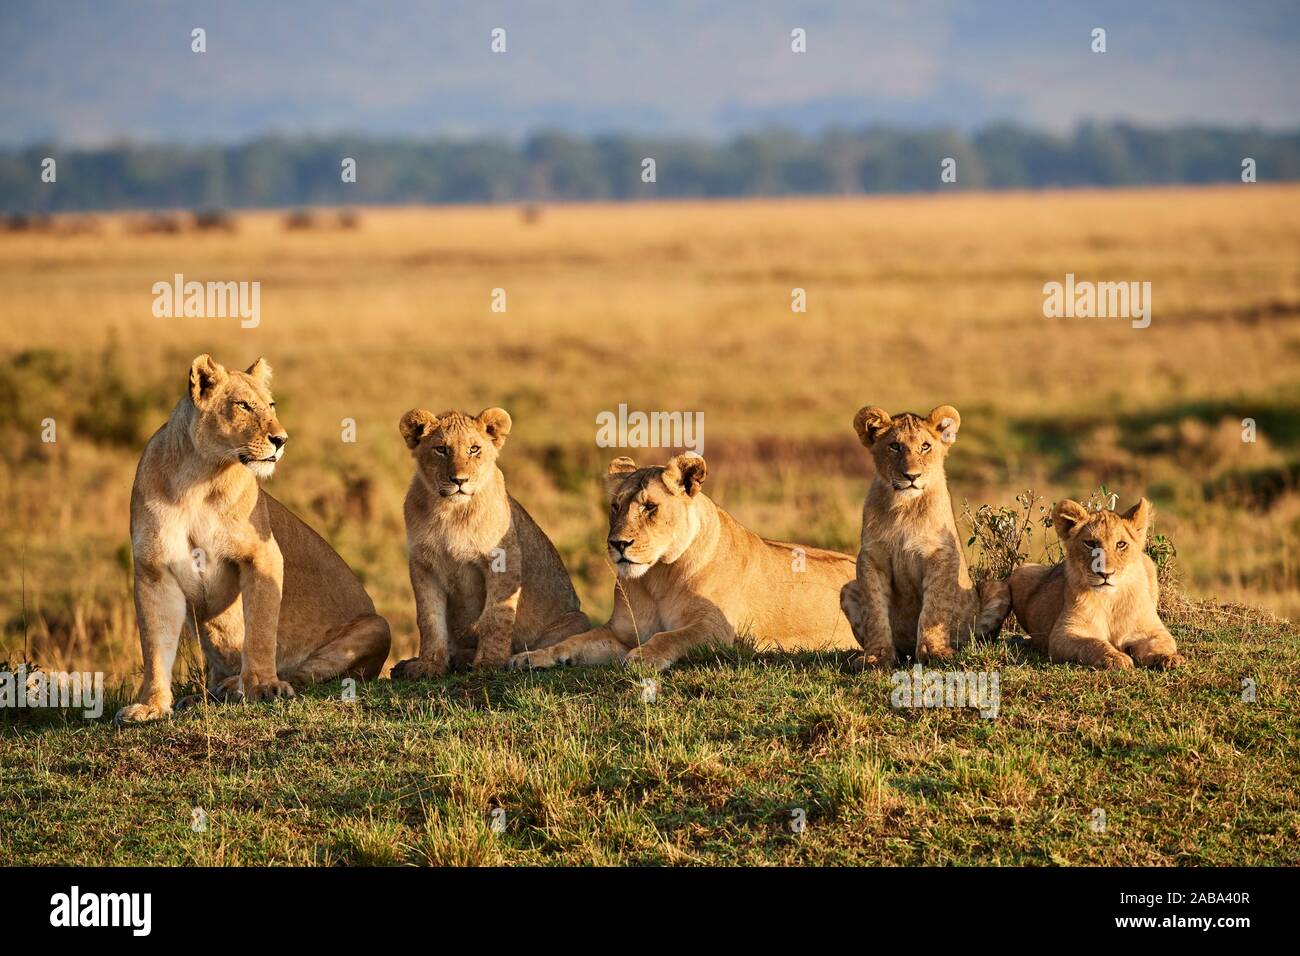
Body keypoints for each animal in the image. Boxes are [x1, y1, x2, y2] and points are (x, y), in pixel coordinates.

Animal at [115, 355, 391, 724]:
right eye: (243, 405)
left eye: (271, 405)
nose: (281, 439)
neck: (198, 478)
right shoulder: (154, 570)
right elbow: (155, 646)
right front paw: (151, 706)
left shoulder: (263, 555)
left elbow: (260, 628)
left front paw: (261, 686)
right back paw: (209, 692)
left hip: (378, 625)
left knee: (299, 672)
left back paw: (235, 686)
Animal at [391, 407, 589, 676]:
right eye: (441, 449)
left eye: (474, 449)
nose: (459, 480)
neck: (450, 512)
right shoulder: (423, 566)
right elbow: (429, 619)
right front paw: (429, 665)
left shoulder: (504, 559)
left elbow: (497, 615)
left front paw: (490, 662)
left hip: (577, 619)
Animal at [508, 453, 859, 673]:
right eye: (615, 506)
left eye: (650, 507)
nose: (618, 544)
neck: (657, 577)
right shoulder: (619, 632)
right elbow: (572, 641)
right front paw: (531, 657)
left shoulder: (718, 629)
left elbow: (671, 636)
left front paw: (642, 657)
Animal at [839, 404, 1010, 667]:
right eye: (894, 446)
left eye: (926, 446)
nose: (912, 476)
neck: (904, 507)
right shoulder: (872, 558)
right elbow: (875, 610)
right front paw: (877, 656)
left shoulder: (942, 553)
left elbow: (934, 607)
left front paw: (934, 653)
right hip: (847, 589)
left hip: (998, 588)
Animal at [1008, 498, 1184, 669]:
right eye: (1090, 543)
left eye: (1121, 544)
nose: (1105, 574)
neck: (1110, 600)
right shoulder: (1064, 633)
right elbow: (1093, 643)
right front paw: (1115, 657)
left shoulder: (1152, 630)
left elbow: (1160, 643)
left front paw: (1169, 658)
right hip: (1022, 570)